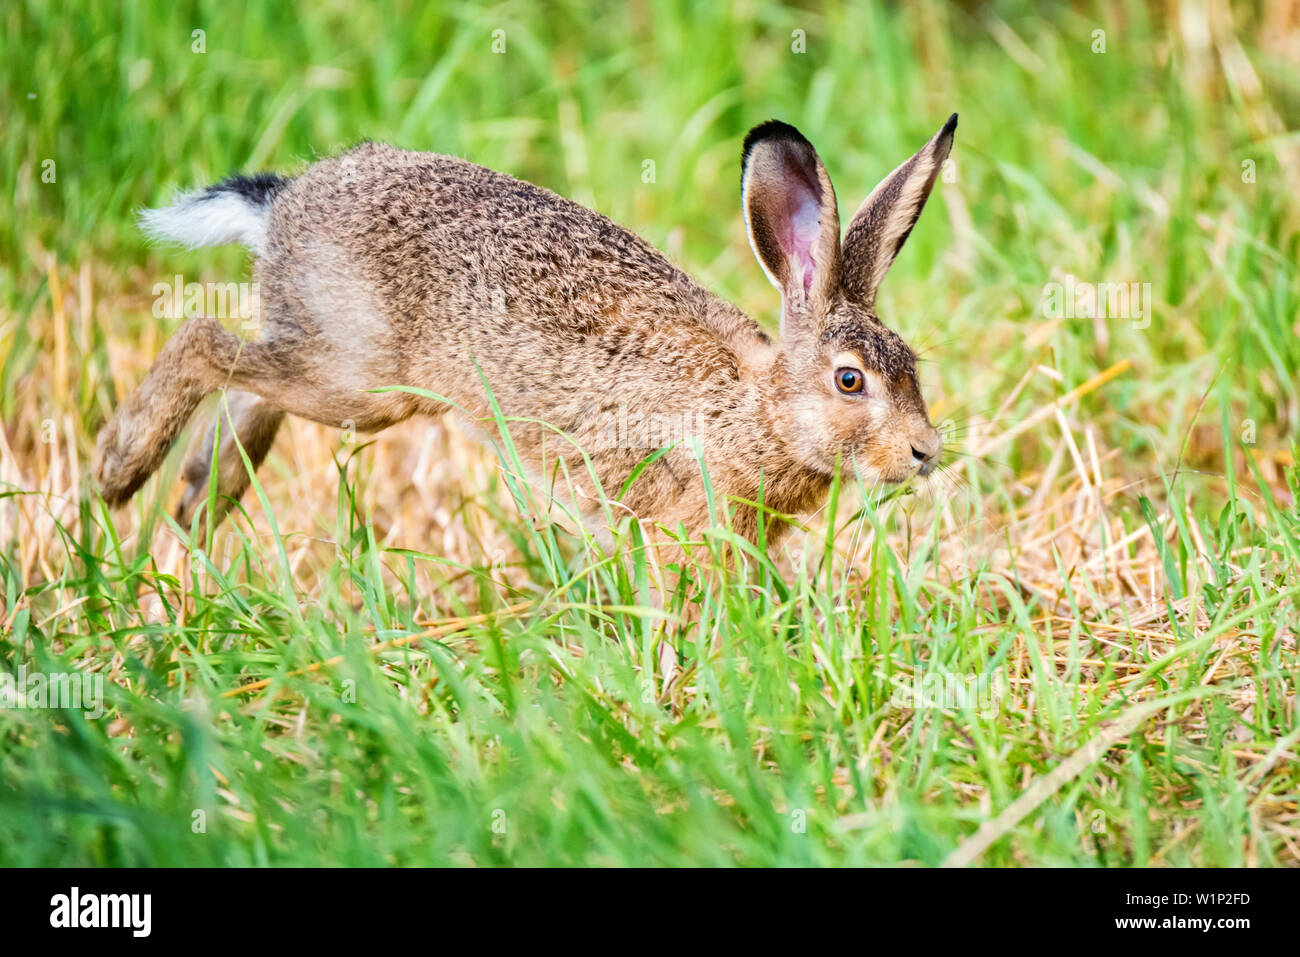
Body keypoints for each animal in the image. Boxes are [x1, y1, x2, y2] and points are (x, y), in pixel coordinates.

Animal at [96, 115, 956, 551]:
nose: (925, 451)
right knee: (203, 341)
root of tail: (284, 203)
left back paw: (199, 500)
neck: (757, 409)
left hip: (329, 359)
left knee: (247, 382)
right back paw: (118, 470)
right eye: (850, 380)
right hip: (357, 378)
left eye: (912, 365)